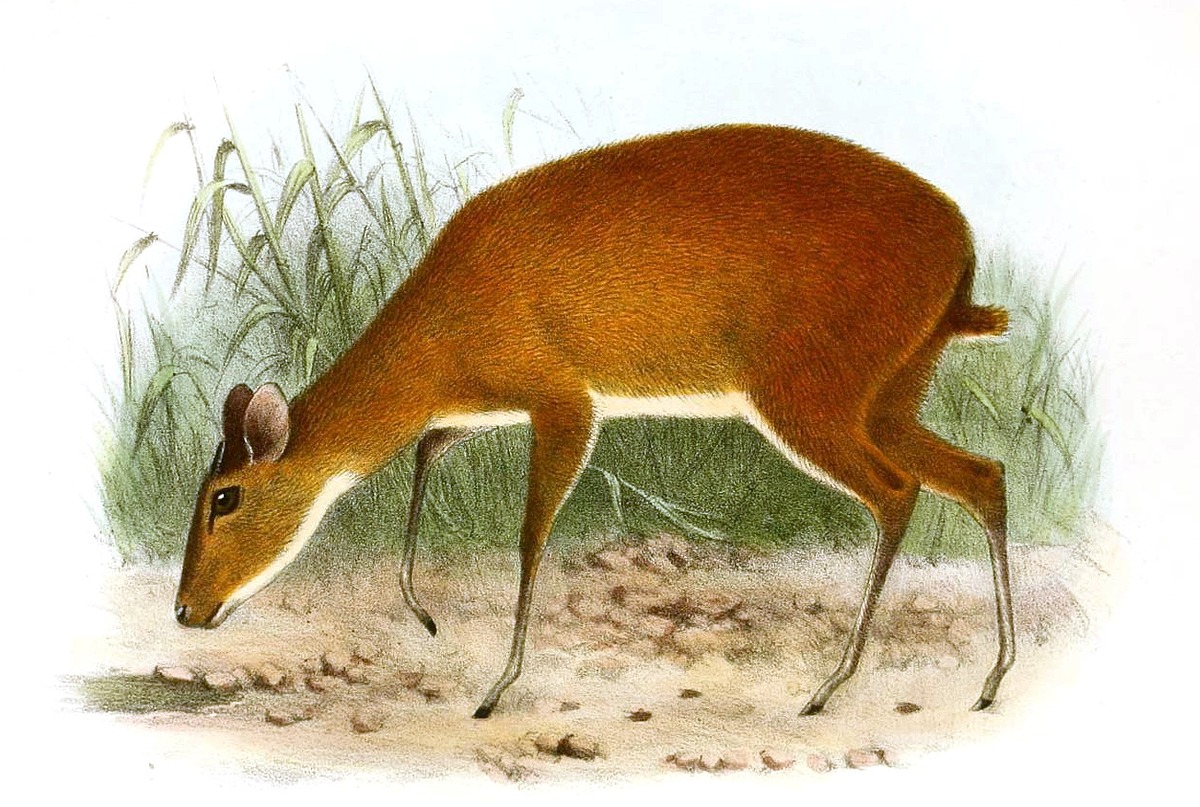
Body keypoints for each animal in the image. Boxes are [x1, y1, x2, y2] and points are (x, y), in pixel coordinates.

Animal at [175, 124, 1014, 718]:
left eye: (225, 497)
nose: (185, 609)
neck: (438, 335)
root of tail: (963, 264)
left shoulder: (563, 396)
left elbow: (529, 531)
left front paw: (495, 688)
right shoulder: (496, 401)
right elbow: (428, 449)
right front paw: (424, 614)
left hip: (812, 391)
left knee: (898, 490)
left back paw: (828, 687)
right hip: (891, 390)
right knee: (984, 474)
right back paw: (991, 678)